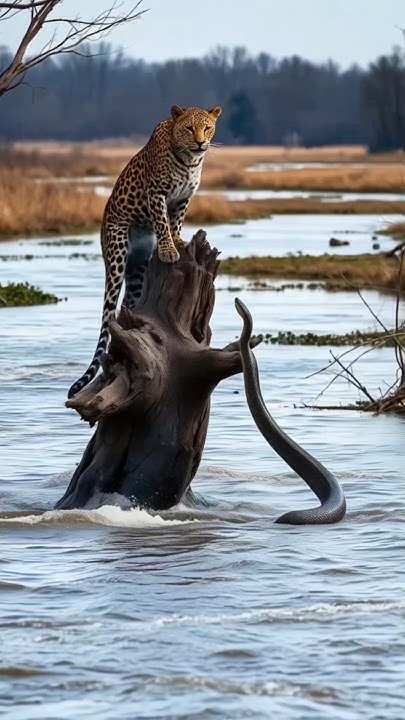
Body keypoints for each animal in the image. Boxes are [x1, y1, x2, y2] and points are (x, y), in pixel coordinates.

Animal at [67, 104, 222, 399]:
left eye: (207, 127)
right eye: (189, 128)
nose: (200, 142)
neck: (190, 161)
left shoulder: (182, 199)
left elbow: (175, 221)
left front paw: (178, 241)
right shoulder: (157, 194)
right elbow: (161, 222)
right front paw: (169, 250)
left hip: (137, 271)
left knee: (126, 307)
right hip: (116, 254)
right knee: (109, 313)